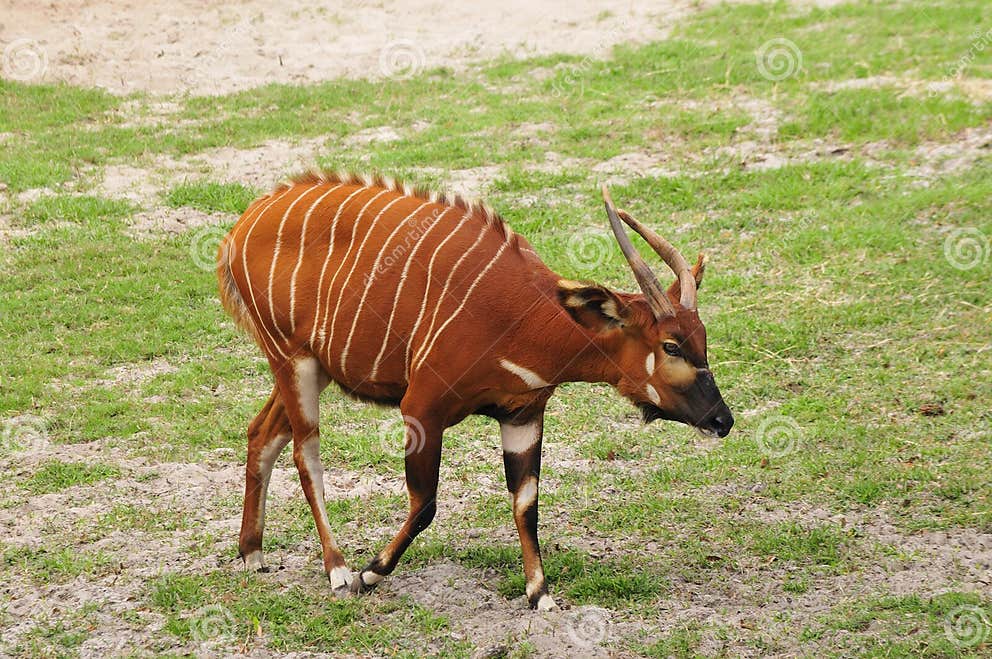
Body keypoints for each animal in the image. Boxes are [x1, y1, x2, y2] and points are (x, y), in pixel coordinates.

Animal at [216, 171, 733, 611]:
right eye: (671, 345)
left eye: (704, 338)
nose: (722, 420)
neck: (527, 316)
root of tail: (243, 223)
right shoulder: (422, 407)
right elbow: (425, 503)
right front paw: (368, 574)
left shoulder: (523, 415)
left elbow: (526, 503)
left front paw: (540, 594)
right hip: (293, 360)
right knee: (306, 452)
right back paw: (337, 569)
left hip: (311, 367)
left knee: (262, 433)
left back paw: (252, 553)